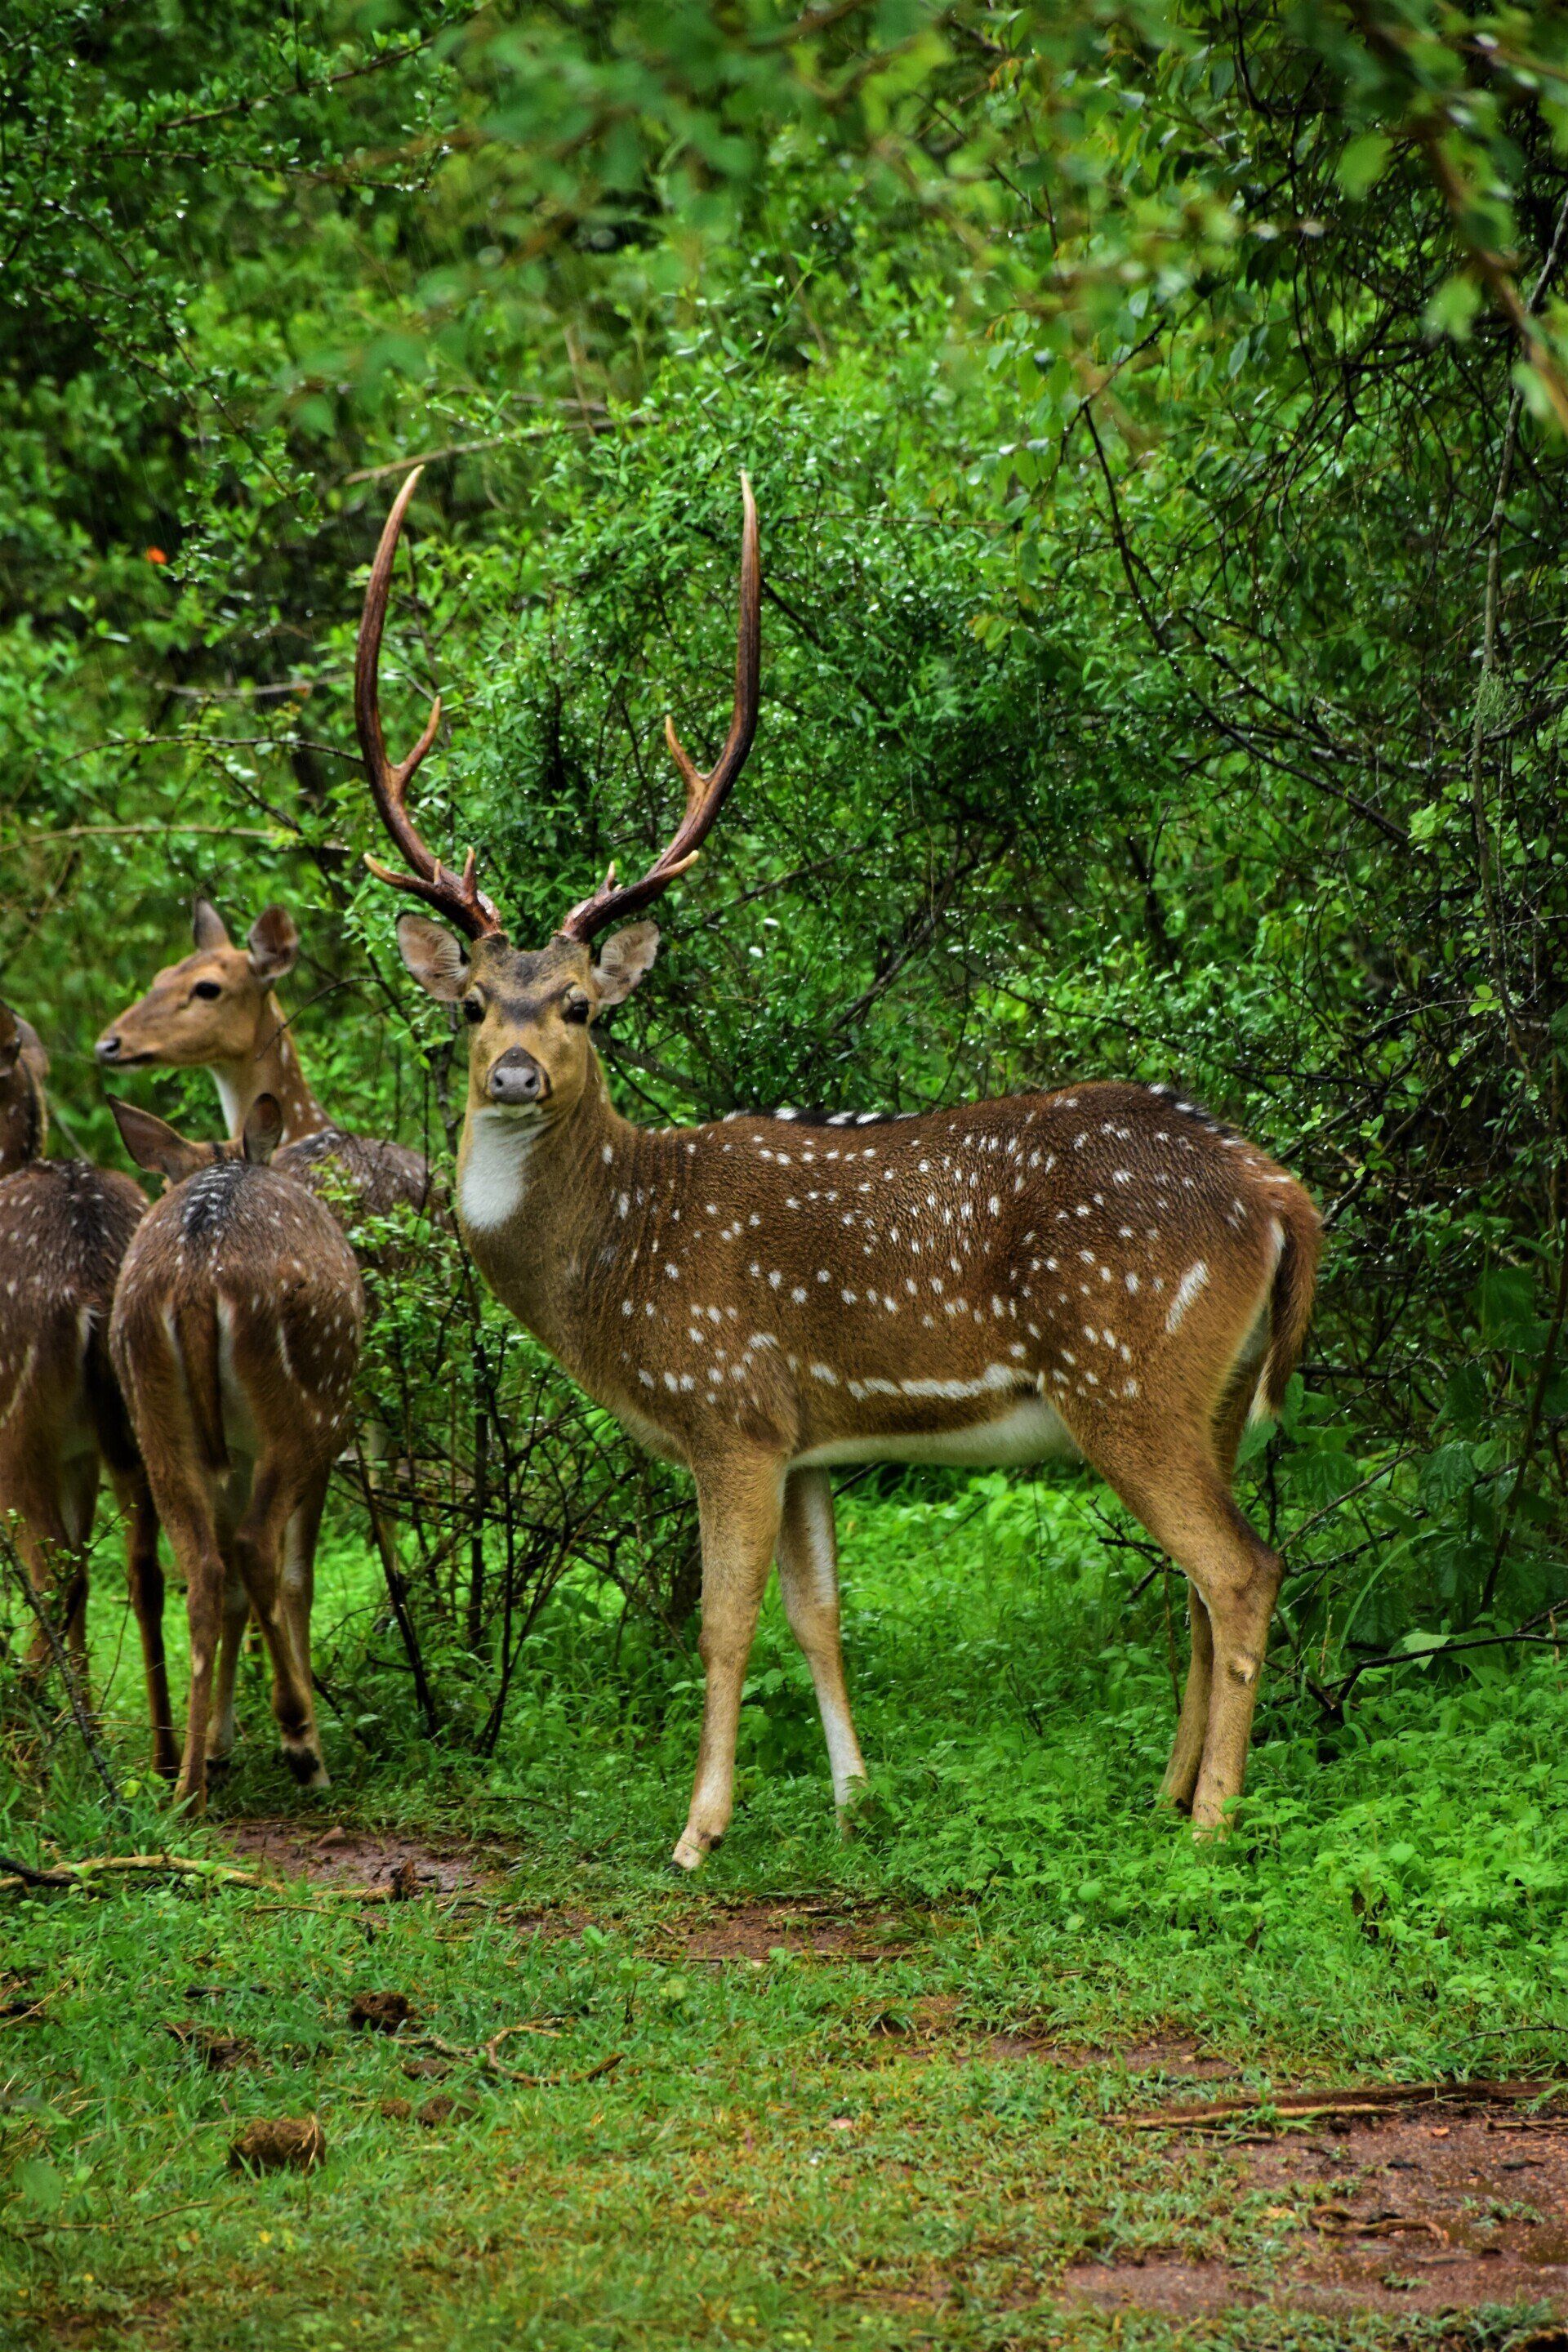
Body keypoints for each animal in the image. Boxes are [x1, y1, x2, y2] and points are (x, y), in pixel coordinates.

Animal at [107, 1092, 364, 1810]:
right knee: (254, 1549)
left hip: (154, 1416)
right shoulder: (324, 1441)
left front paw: (221, 1748)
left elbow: (231, 1593)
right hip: (306, 1409)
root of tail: (198, 1280)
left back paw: (187, 1787)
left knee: (203, 1570)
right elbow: (298, 1578)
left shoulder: (228, 1462)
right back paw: (303, 1746)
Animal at [356, 467, 1321, 1866]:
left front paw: (697, 1832)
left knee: (1240, 1570)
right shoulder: (805, 1432)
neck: (611, 1268)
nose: (517, 1074)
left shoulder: (728, 1406)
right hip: (1218, 1390)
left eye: (583, 1005)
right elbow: (820, 1616)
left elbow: (722, 1626)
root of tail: (1280, 1194)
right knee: (1206, 1579)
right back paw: (1165, 1795)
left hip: (1128, 1368)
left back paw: (1208, 1828)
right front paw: (858, 1798)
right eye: (475, 1003)